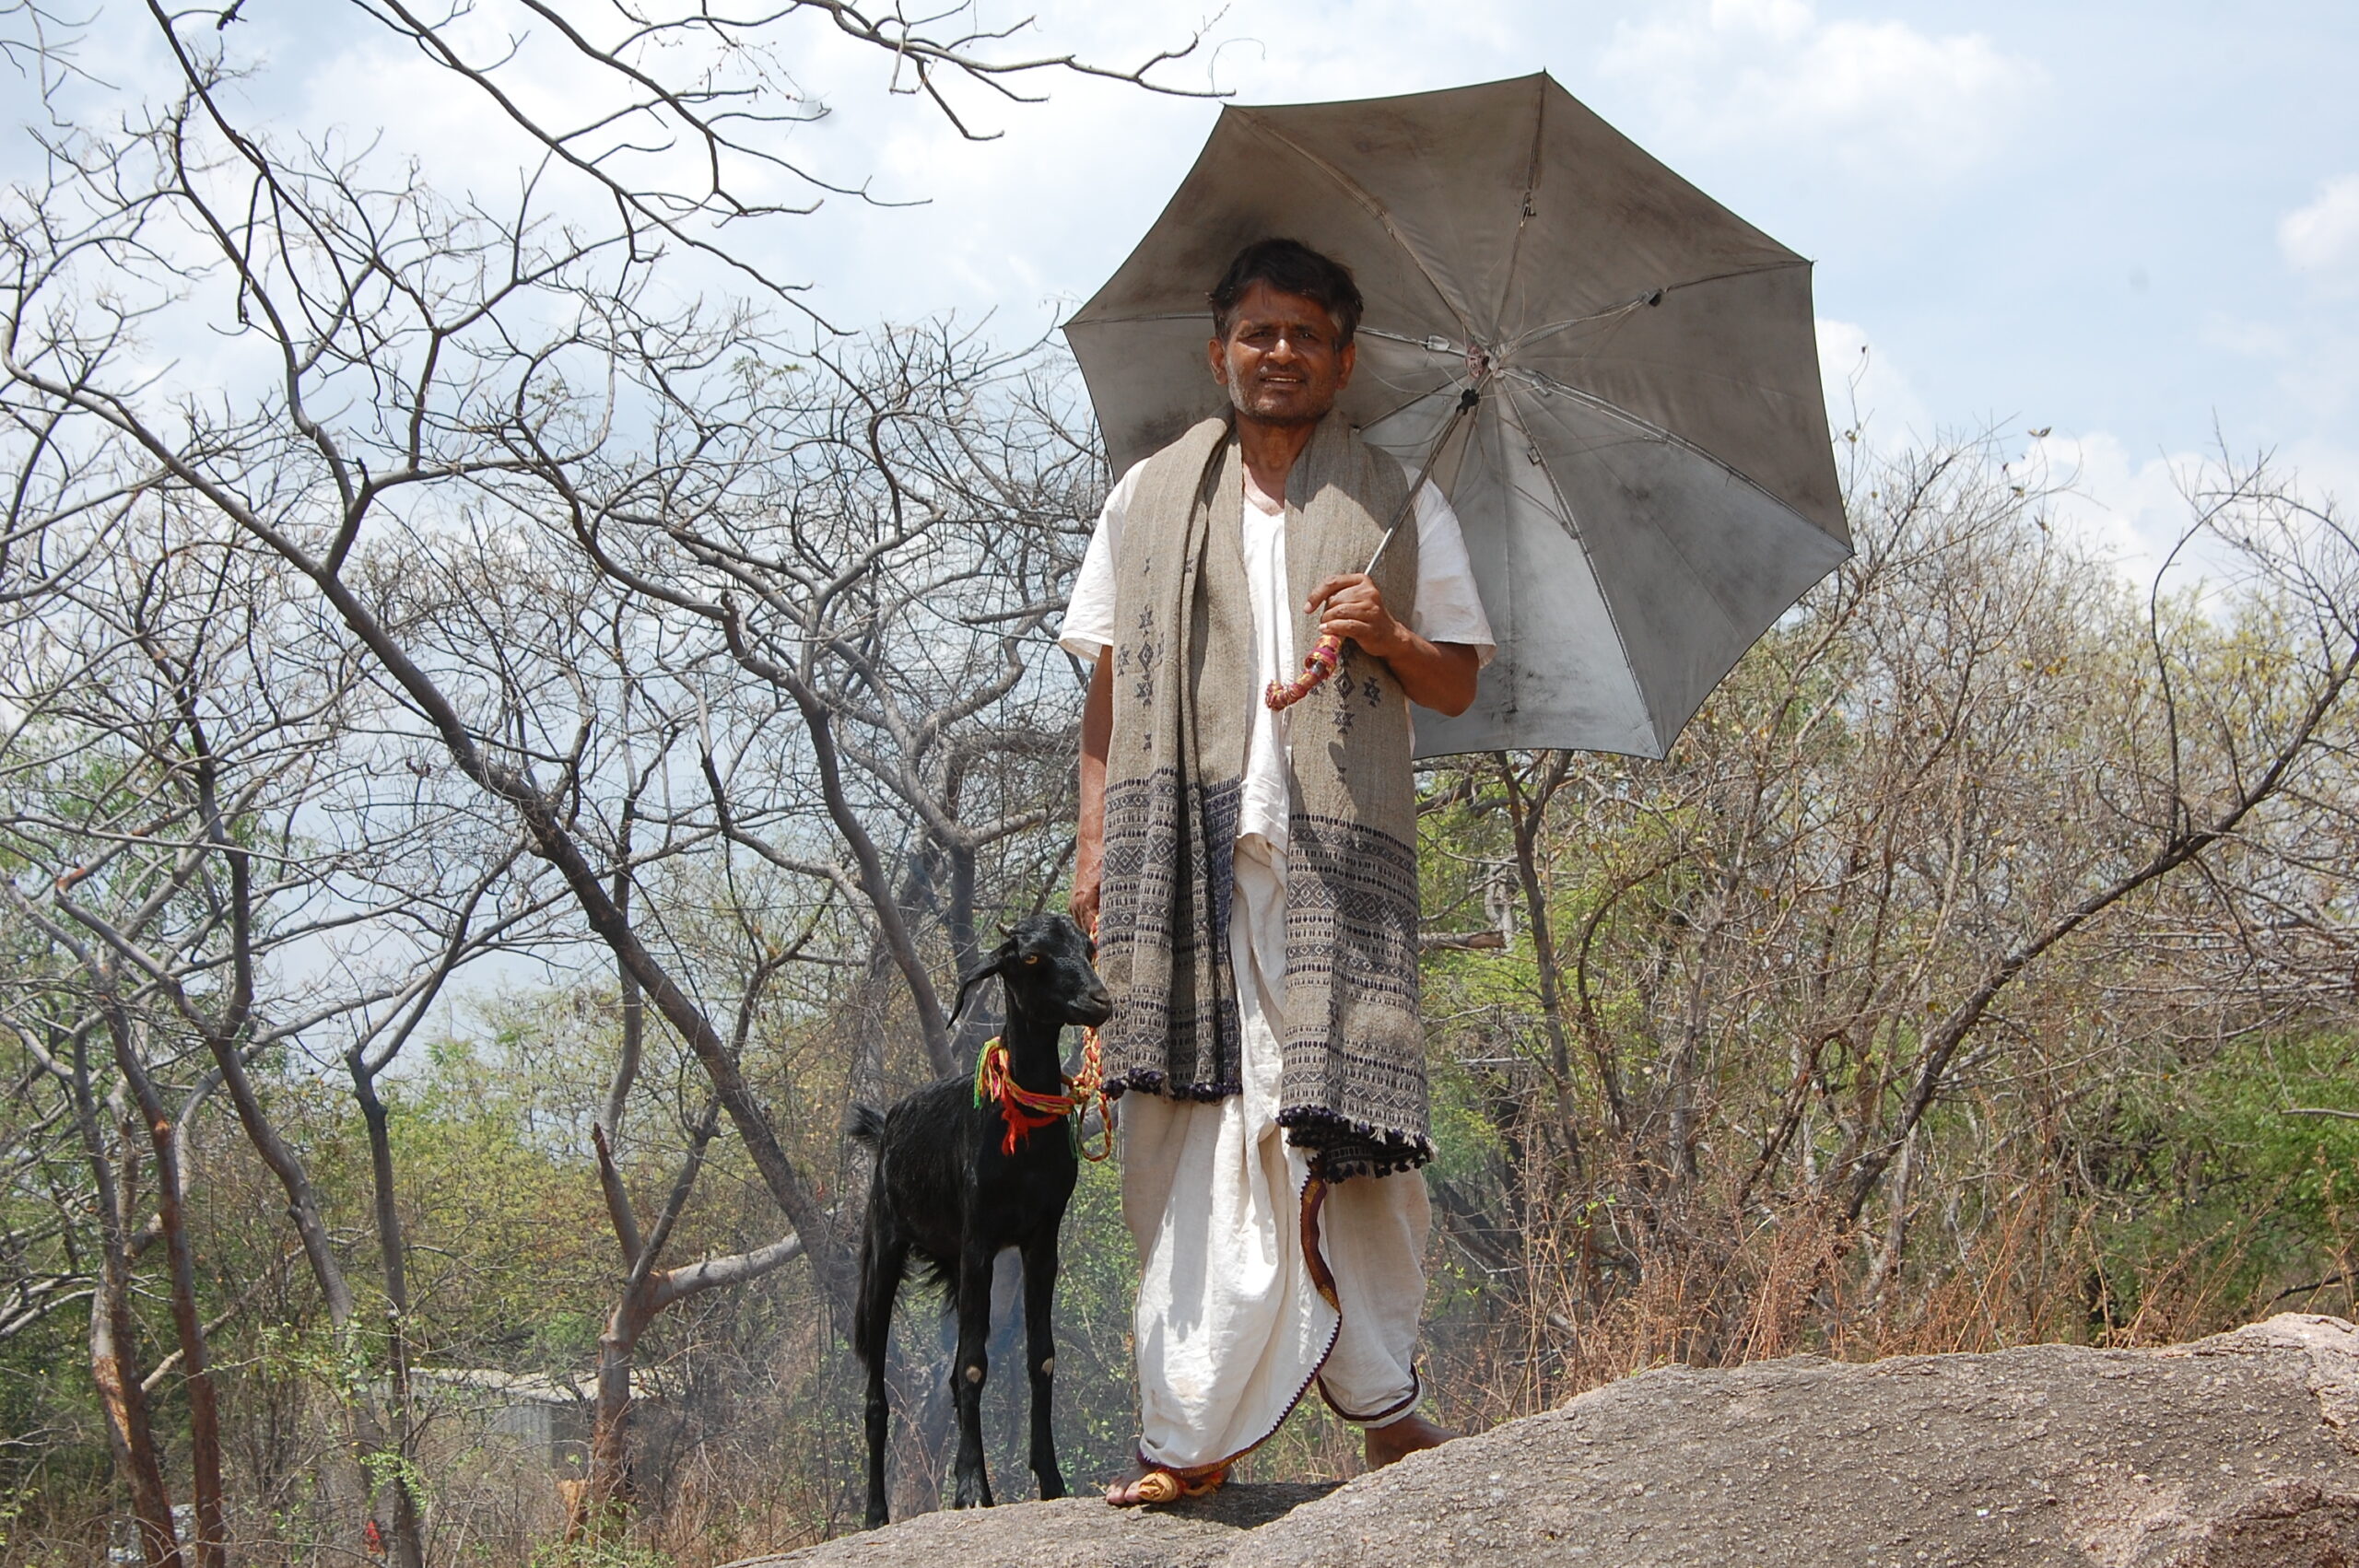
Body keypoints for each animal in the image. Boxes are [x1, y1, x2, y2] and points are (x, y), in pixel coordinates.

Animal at [847, 913, 1112, 1528]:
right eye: (1032, 957)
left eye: (1087, 947)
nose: (1099, 1001)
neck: (1020, 1130)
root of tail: (886, 1123)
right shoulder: (979, 1241)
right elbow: (972, 1364)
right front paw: (972, 1488)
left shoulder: (1041, 1240)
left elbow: (1041, 1358)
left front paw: (1052, 1480)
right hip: (886, 1246)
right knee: (875, 1393)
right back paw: (875, 1513)